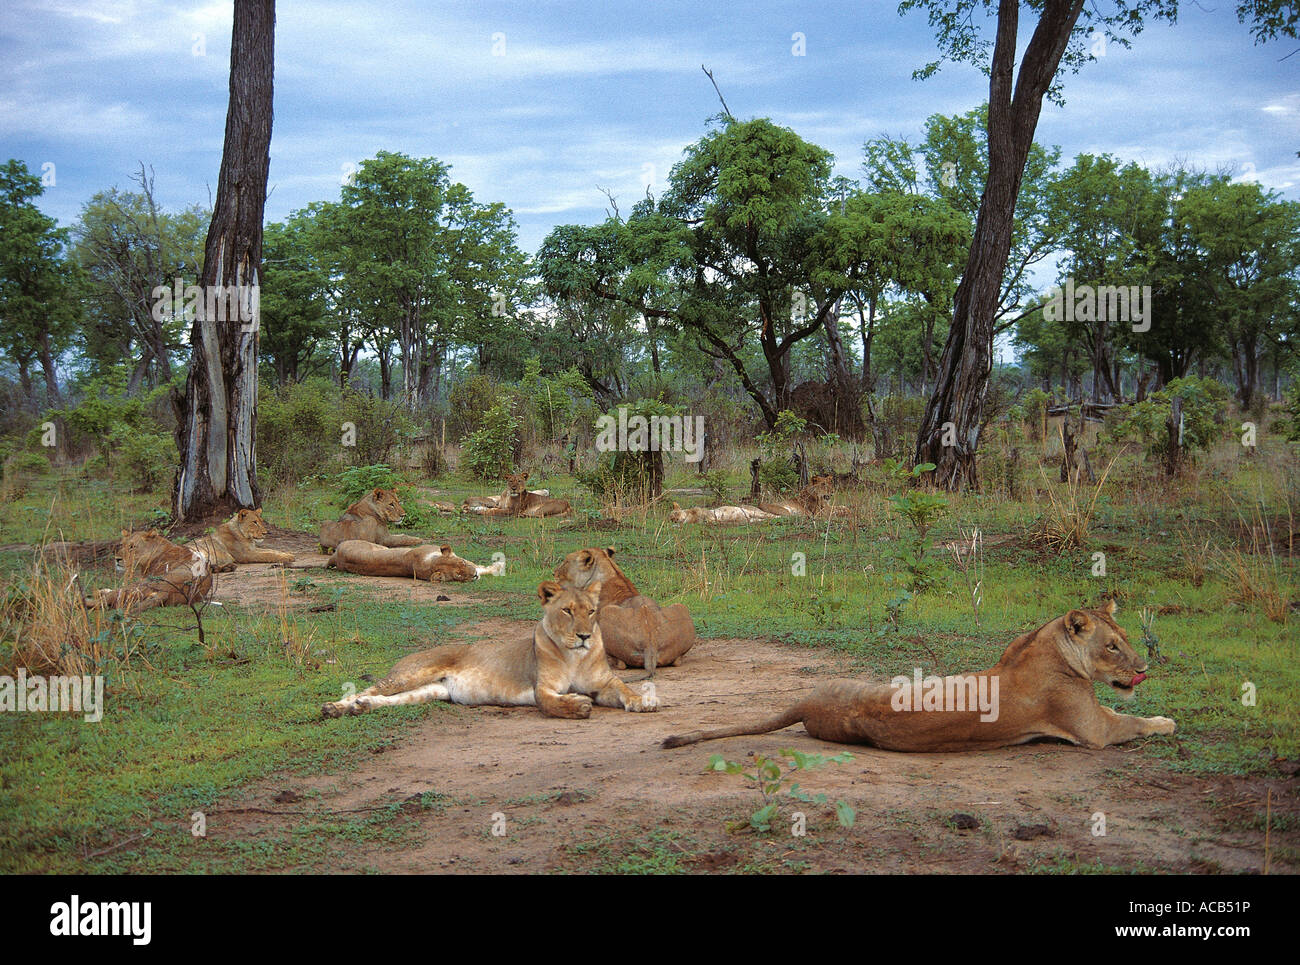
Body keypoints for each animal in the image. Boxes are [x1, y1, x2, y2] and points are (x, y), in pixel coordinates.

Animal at [321, 580, 659, 719]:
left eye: (591, 611)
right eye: (567, 611)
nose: (585, 636)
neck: (574, 655)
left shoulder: (603, 683)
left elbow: (623, 689)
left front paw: (643, 701)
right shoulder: (542, 687)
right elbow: (552, 704)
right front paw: (577, 706)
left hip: (431, 691)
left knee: (383, 699)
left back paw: (360, 708)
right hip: (410, 674)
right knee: (366, 689)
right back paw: (334, 707)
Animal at [553, 546, 696, 673]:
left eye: (566, 561)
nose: (553, 572)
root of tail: (651, 644)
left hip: (607, 612)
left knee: (620, 663)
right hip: (681, 607)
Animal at [662, 601, 1175, 752]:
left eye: (1126, 637)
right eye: (1112, 646)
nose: (1144, 668)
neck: (1049, 644)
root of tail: (807, 703)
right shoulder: (1093, 730)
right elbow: (1132, 721)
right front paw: (1166, 722)